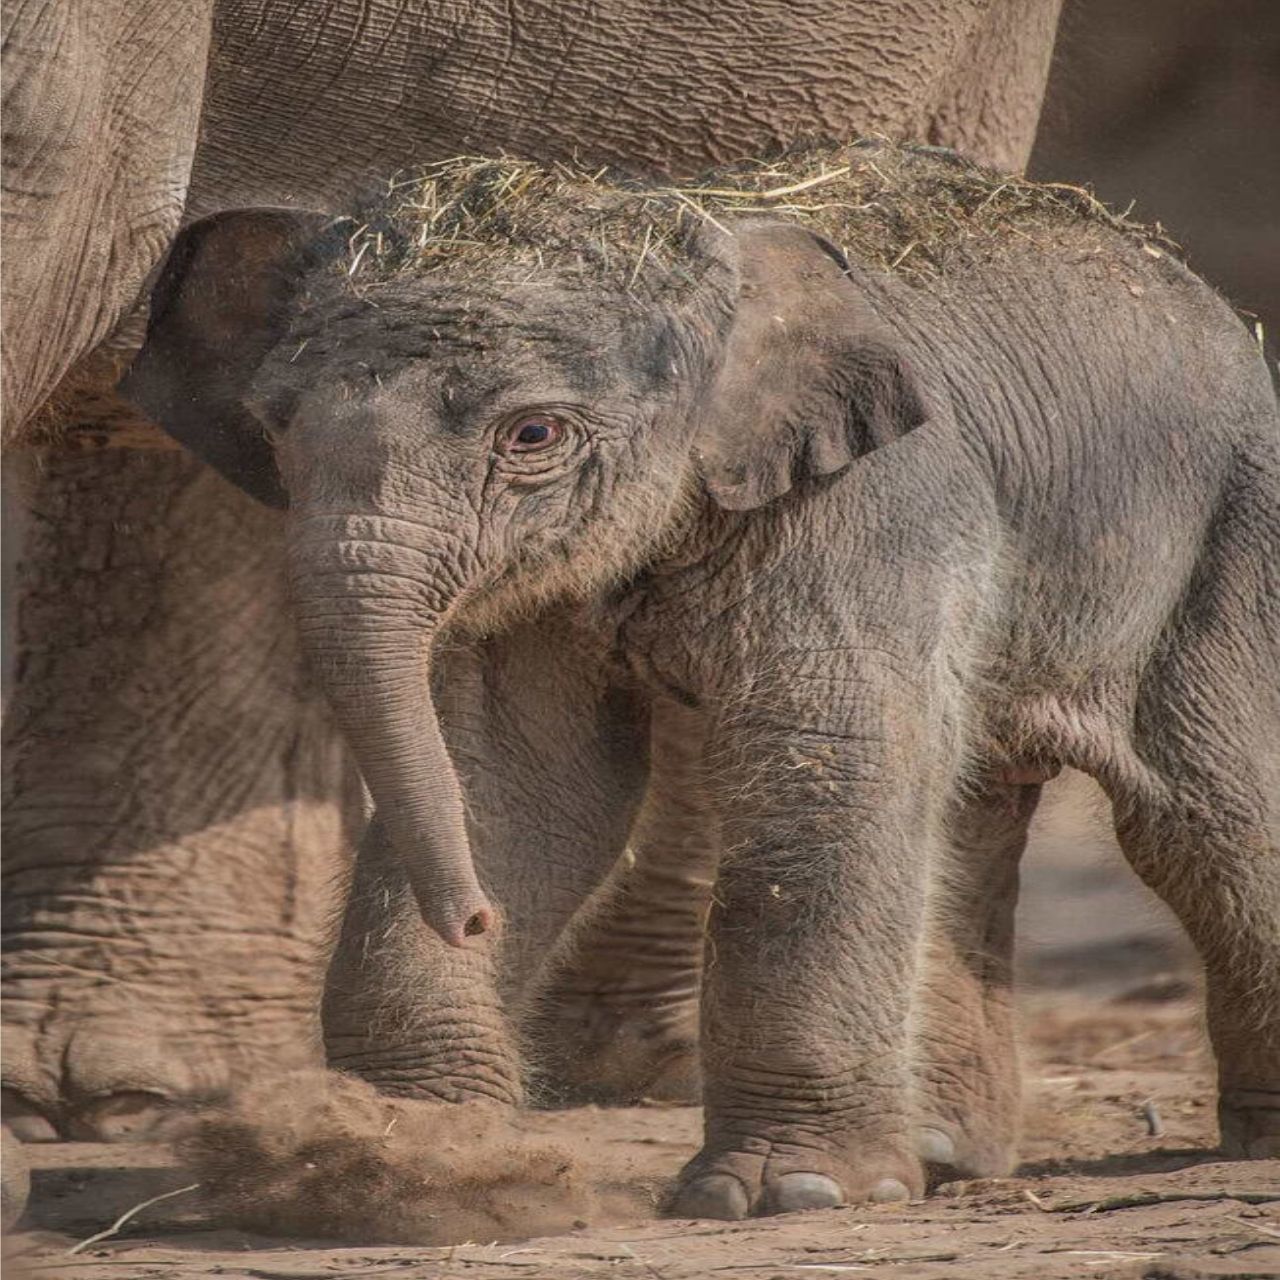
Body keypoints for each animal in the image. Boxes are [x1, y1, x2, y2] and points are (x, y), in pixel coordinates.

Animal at [120, 142, 1280, 1219]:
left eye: (532, 433)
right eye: (277, 429)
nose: (476, 919)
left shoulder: (873, 502)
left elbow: (830, 755)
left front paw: (789, 1194)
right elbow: (517, 783)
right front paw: (394, 1158)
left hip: (1230, 535)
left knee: (1203, 816)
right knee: (982, 804)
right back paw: (945, 1156)